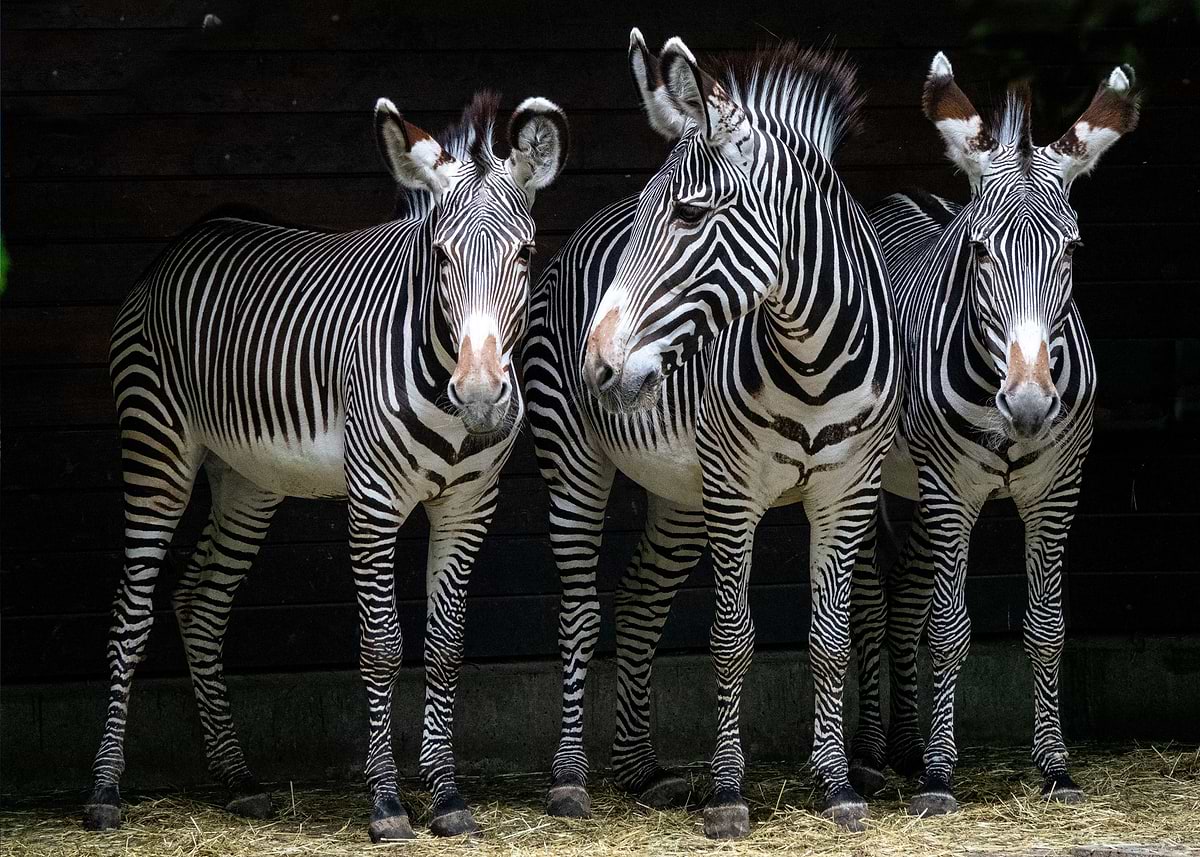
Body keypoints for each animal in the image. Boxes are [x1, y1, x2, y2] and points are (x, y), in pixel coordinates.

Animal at [81, 91, 568, 841]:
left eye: (525, 253)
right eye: (440, 256)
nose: (484, 397)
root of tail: (188, 238)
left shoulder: (469, 505)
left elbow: (446, 645)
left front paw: (447, 797)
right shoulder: (372, 500)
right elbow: (381, 646)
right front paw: (388, 803)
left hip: (247, 478)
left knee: (200, 603)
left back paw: (238, 779)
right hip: (156, 447)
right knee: (129, 616)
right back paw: (105, 791)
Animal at [523, 31, 900, 838]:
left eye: (691, 215)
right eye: (652, 215)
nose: (598, 367)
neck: (813, 359)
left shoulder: (847, 491)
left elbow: (829, 637)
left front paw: (837, 786)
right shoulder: (735, 492)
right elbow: (731, 638)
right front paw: (729, 793)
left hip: (679, 493)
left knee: (638, 601)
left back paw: (640, 770)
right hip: (576, 464)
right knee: (577, 613)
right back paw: (570, 780)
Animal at [846, 54, 1139, 815]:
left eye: (1072, 250)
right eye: (979, 250)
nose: (1030, 405)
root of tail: (899, 198)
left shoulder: (1057, 491)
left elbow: (1047, 627)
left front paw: (1056, 768)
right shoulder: (952, 490)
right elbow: (949, 630)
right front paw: (941, 779)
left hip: (916, 489)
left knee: (904, 596)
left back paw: (905, 746)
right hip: (868, 475)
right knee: (869, 602)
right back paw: (871, 757)